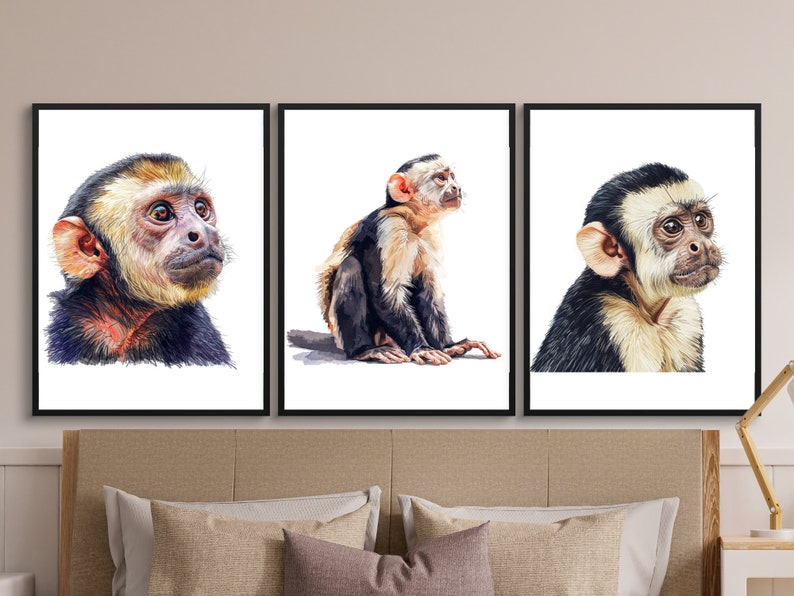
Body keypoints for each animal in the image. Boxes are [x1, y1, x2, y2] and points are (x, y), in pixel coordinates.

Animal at [317, 154, 500, 365]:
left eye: (452, 176)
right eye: (441, 178)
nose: (457, 187)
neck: (411, 220)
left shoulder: (430, 234)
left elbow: (428, 292)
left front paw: (448, 346)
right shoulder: (391, 228)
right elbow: (387, 293)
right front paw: (422, 348)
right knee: (351, 266)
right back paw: (364, 350)